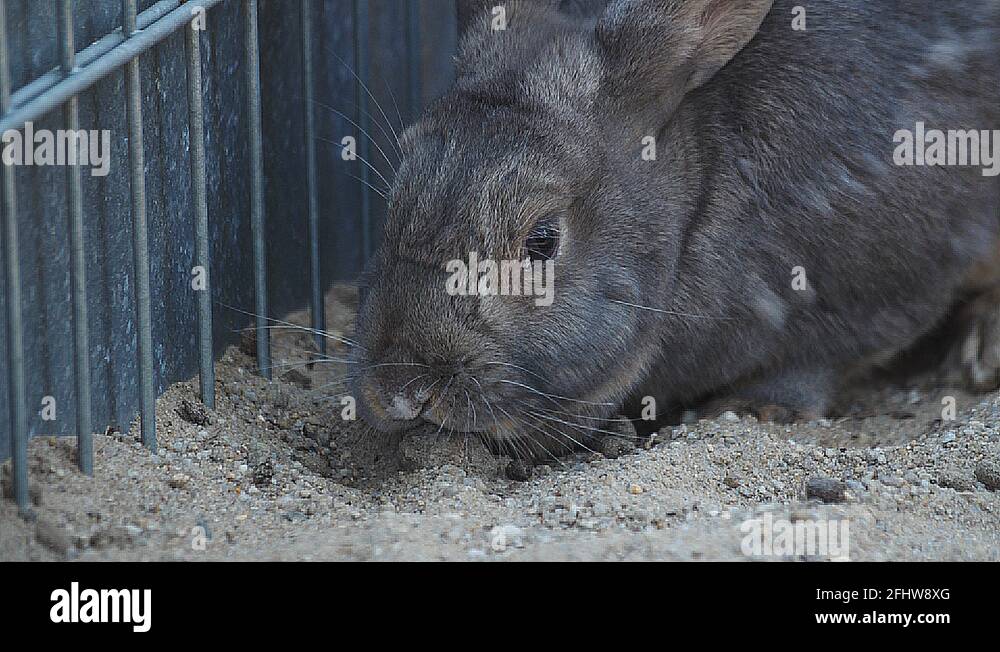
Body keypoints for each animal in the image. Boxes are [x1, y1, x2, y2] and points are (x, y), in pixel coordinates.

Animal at [350, 0, 1000, 463]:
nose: (402, 387)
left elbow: (817, 361)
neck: (699, 195)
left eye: (542, 239)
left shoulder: (870, 288)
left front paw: (754, 409)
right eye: (395, 201)